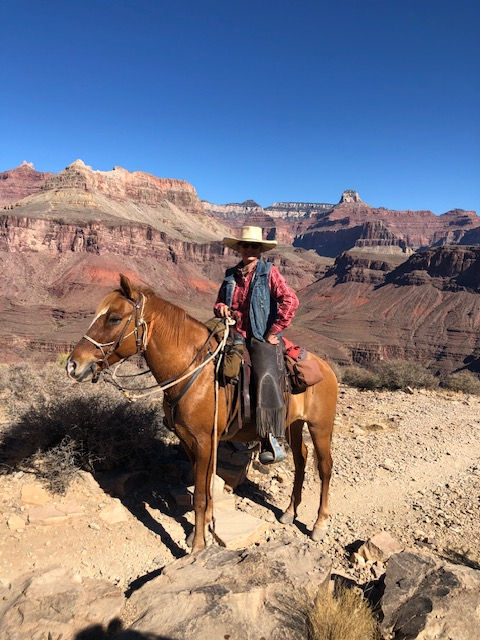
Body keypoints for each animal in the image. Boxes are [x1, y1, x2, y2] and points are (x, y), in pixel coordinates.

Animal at [66, 275, 337, 552]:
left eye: (114, 318)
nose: (73, 365)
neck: (193, 371)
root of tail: (326, 367)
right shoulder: (188, 441)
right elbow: (205, 488)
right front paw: (203, 529)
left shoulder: (205, 441)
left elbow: (198, 494)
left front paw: (197, 545)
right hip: (294, 425)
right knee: (301, 459)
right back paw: (289, 512)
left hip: (320, 426)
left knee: (325, 467)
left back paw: (319, 524)